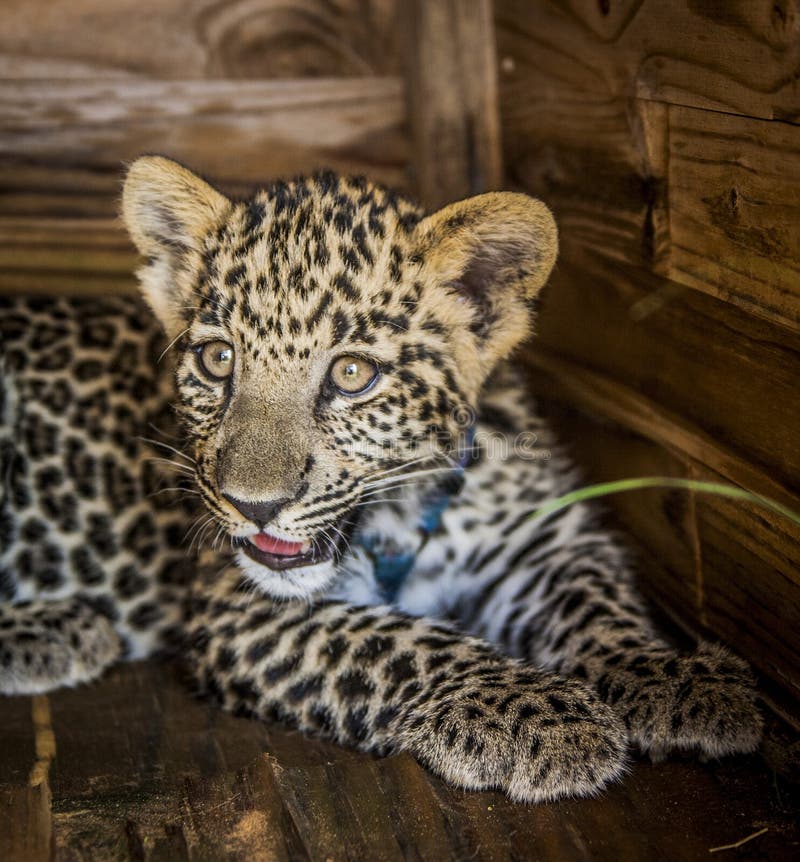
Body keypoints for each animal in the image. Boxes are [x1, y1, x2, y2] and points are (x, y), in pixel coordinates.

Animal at [0, 156, 762, 803]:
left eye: (352, 374)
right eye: (218, 360)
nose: (253, 507)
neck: (402, 515)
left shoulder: (541, 542)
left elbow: (597, 602)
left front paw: (673, 678)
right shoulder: (237, 607)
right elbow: (393, 642)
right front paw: (533, 714)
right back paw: (59, 629)